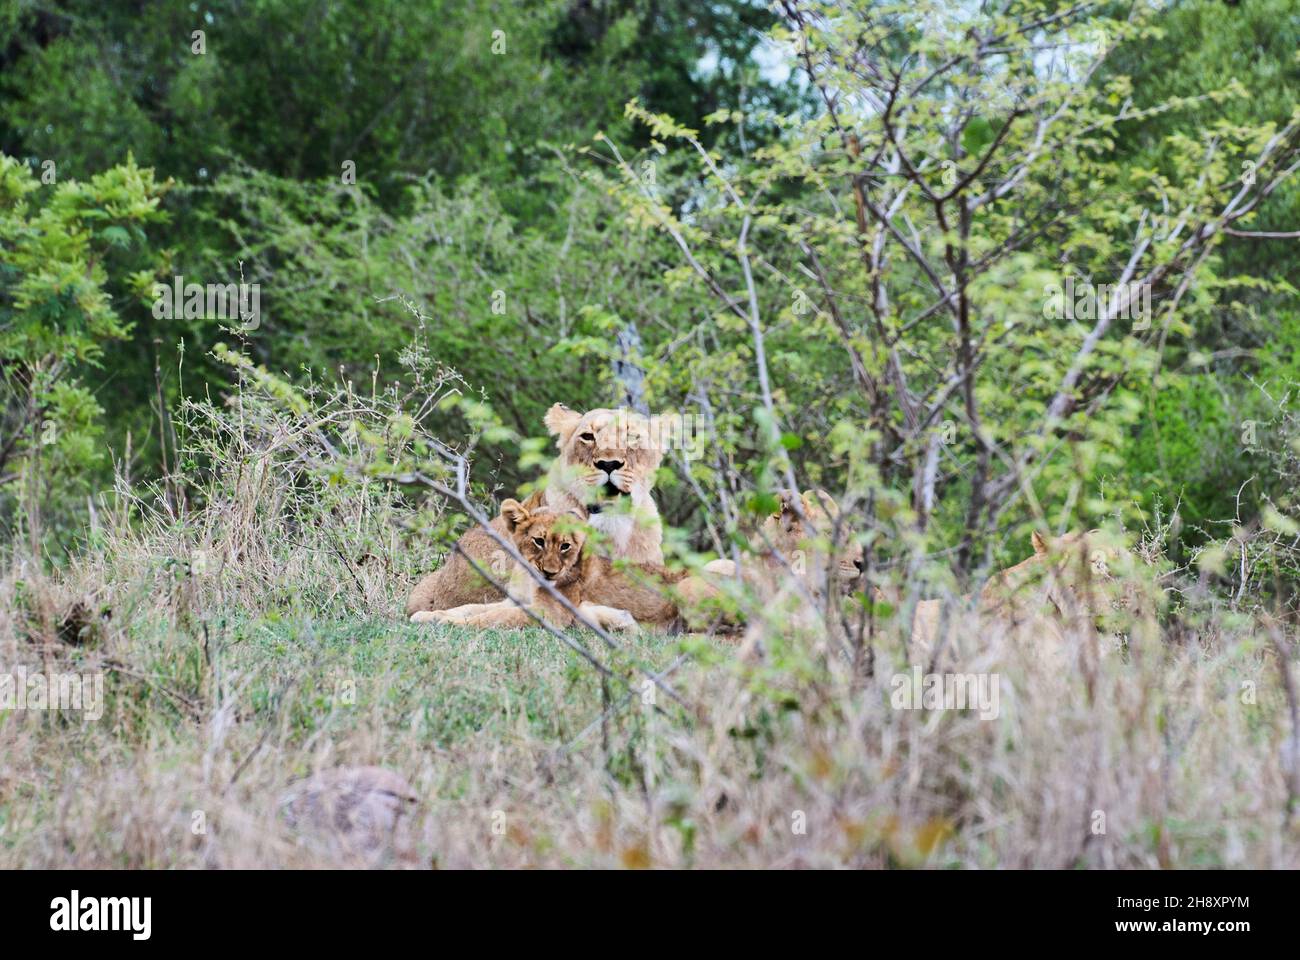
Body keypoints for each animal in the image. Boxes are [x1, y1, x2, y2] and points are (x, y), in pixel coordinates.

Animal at [413, 498, 692, 632]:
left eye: (565, 546)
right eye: (539, 541)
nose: (550, 572)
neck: (528, 577)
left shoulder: (549, 613)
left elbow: (491, 617)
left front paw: (449, 624)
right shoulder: (514, 600)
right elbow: (469, 608)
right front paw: (429, 615)